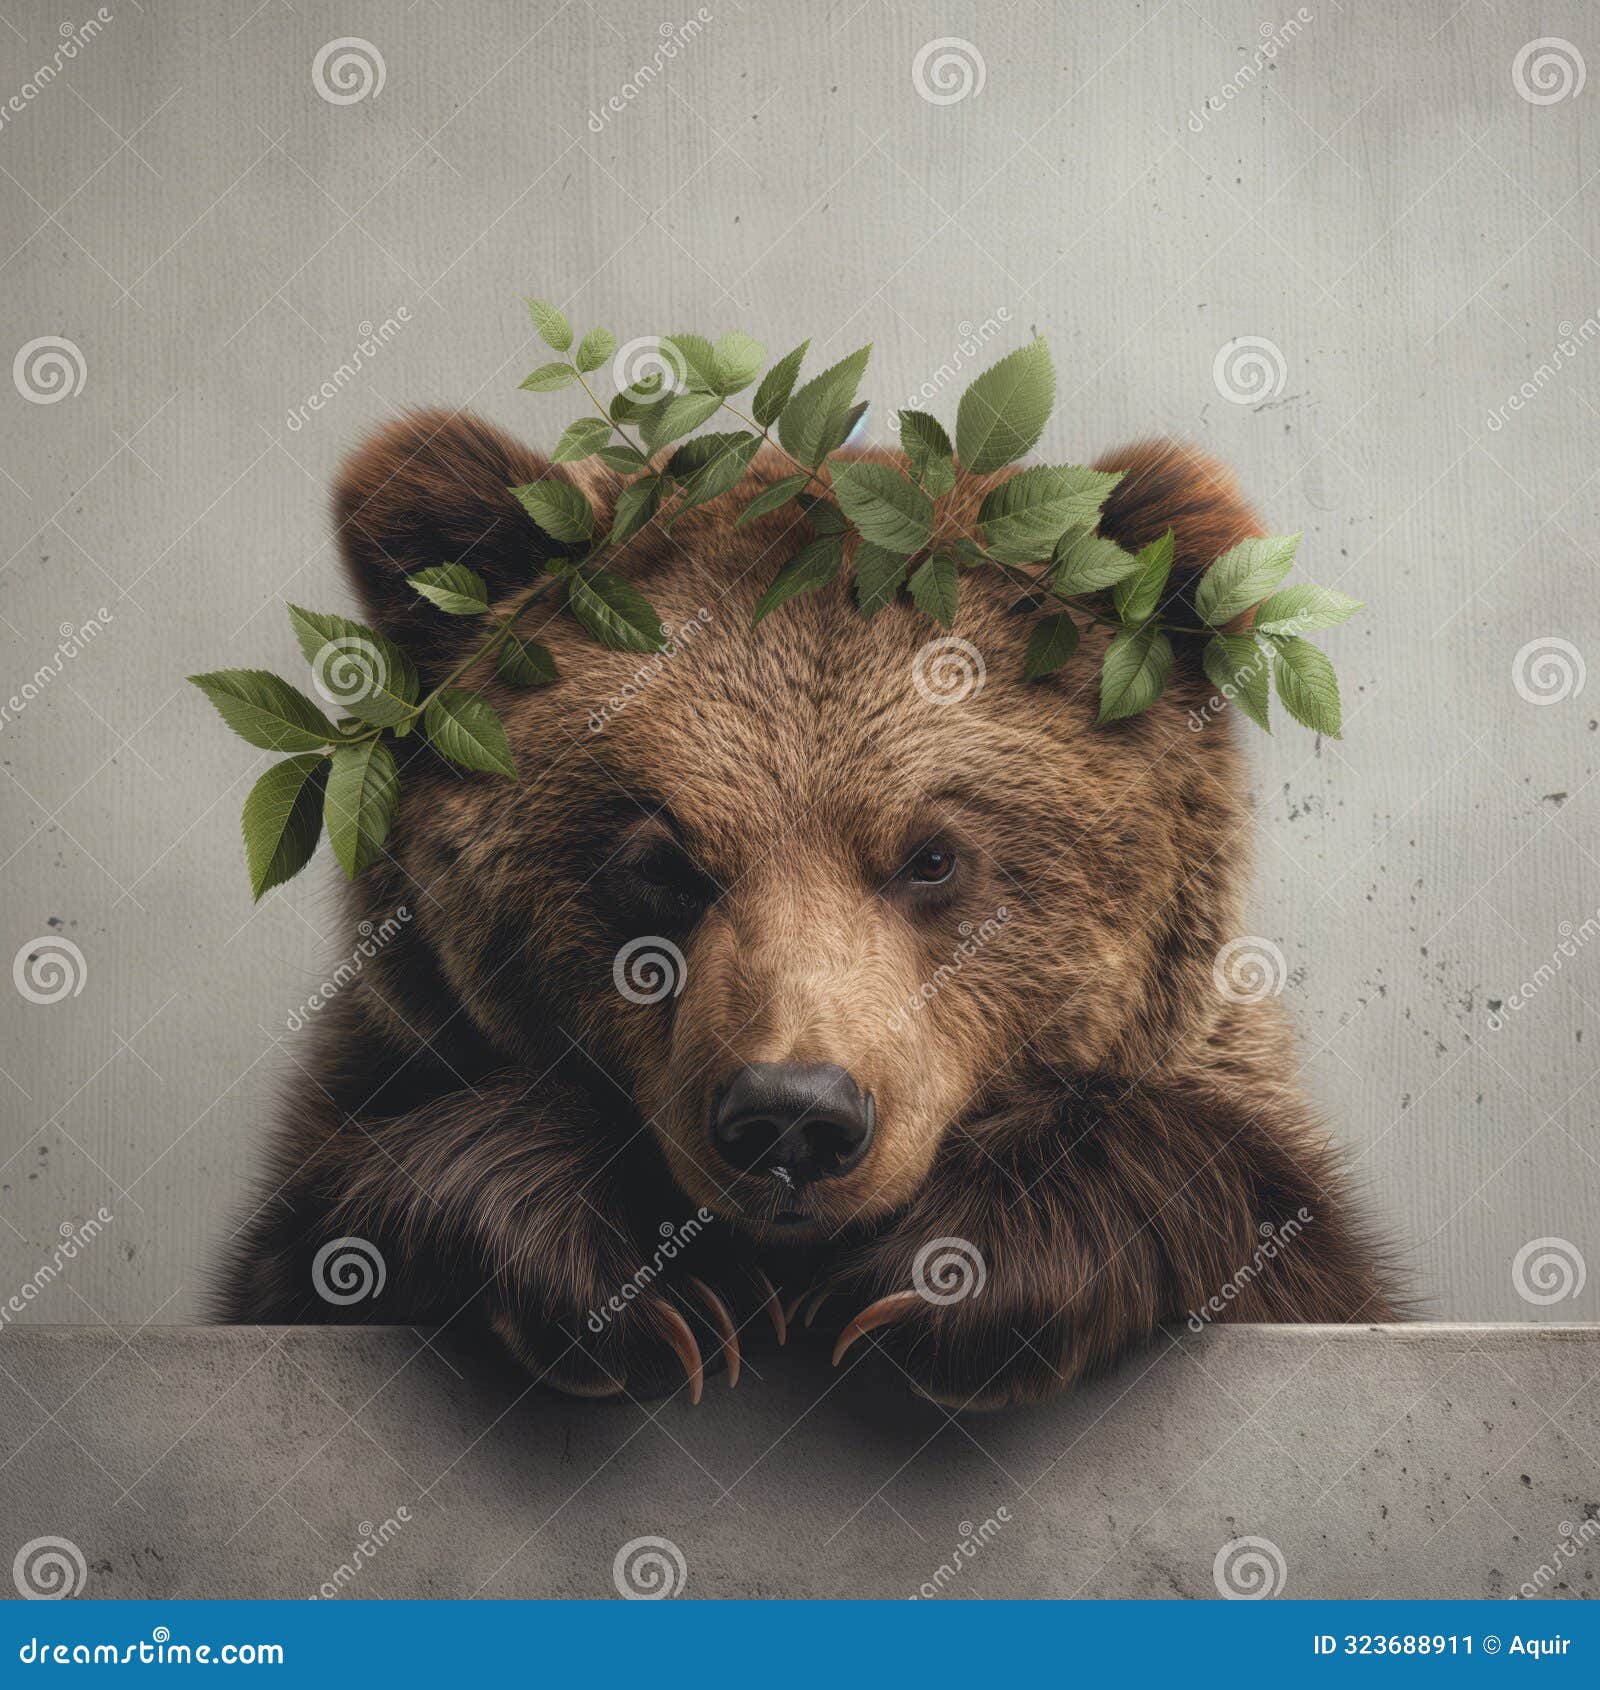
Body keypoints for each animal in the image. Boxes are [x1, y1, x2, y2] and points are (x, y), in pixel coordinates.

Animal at [217, 408, 1400, 1410]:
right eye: (662, 862)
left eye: (932, 856)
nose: (793, 1114)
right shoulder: (372, 1083)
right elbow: (329, 1239)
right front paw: (648, 1278)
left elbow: (1281, 1238)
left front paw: (939, 1275)